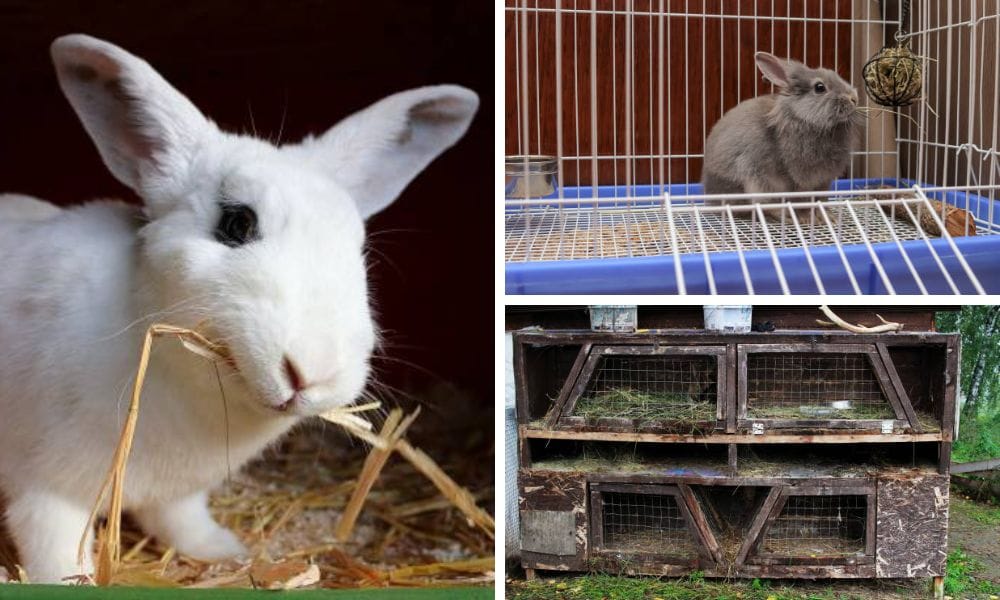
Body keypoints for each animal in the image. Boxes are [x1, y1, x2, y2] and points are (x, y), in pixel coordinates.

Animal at [0, 34, 478, 584]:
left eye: (358, 246)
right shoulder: (47, 493)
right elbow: (56, 552)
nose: (313, 373)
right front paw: (69, 581)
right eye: (237, 224)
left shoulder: (178, 494)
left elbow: (181, 520)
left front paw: (223, 551)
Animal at [702, 52, 861, 221]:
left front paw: (827, 217)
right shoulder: (797, 181)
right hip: (754, 180)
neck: (802, 118)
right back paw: (785, 216)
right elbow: (800, 201)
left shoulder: (823, 182)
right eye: (819, 87)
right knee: (764, 206)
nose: (854, 98)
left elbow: (820, 200)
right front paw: (805, 218)